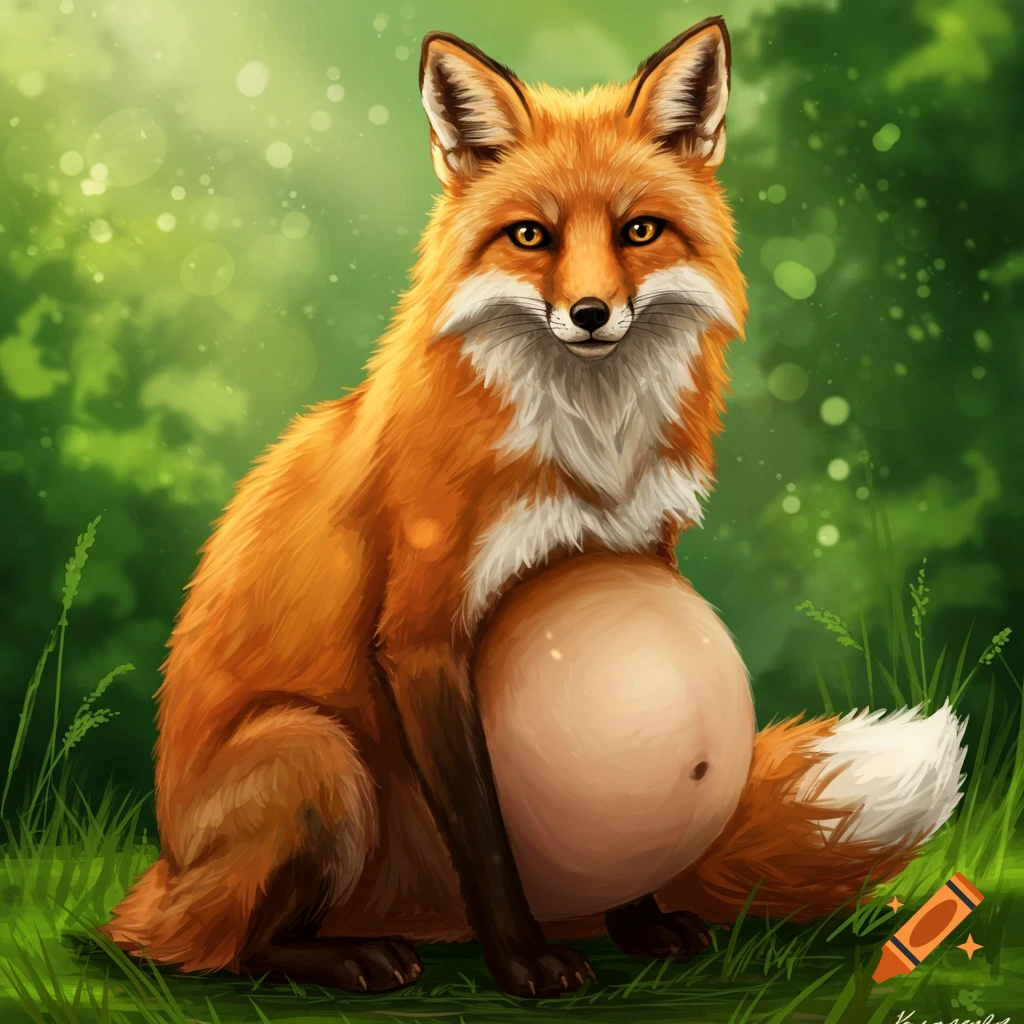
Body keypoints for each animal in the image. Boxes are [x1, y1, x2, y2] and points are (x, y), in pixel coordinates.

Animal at [102, 16, 968, 1000]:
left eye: (639, 231)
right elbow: (485, 832)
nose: (591, 313)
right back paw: (348, 955)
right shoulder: (421, 632)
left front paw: (640, 925)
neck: (589, 450)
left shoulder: (638, 558)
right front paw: (523, 962)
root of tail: (161, 877)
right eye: (530, 236)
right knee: (211, 946)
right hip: (314, 751)